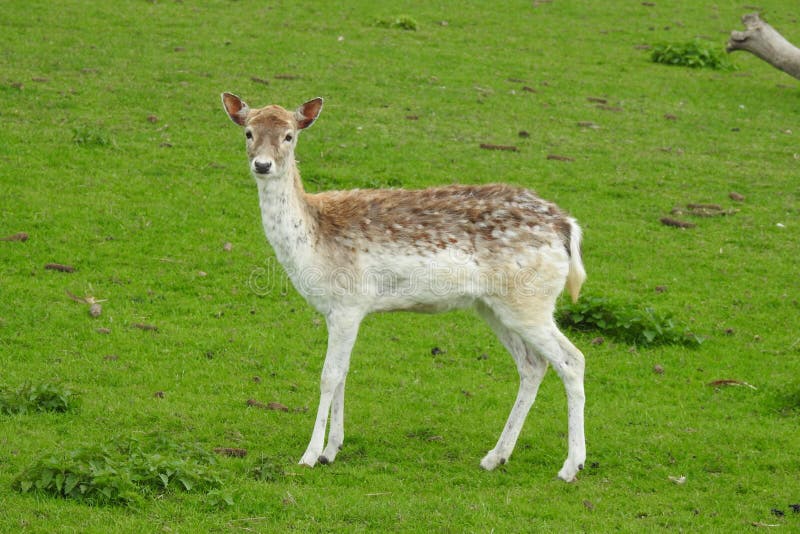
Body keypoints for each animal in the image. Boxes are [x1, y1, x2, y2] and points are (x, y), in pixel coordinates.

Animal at [221, 93, 588, 481]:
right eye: (248, 132)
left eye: (289, 135)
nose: (262, 165)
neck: (312, 241)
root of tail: (567, 227)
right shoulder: (339, 311)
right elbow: (343, 374)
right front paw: (331, 451)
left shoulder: (349, 303)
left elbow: (329, 376)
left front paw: (309, 455)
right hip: (493, 306)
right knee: (532, 365)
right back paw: (495, 457)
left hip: (530, 301)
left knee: (572, 360)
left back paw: (571, 466)